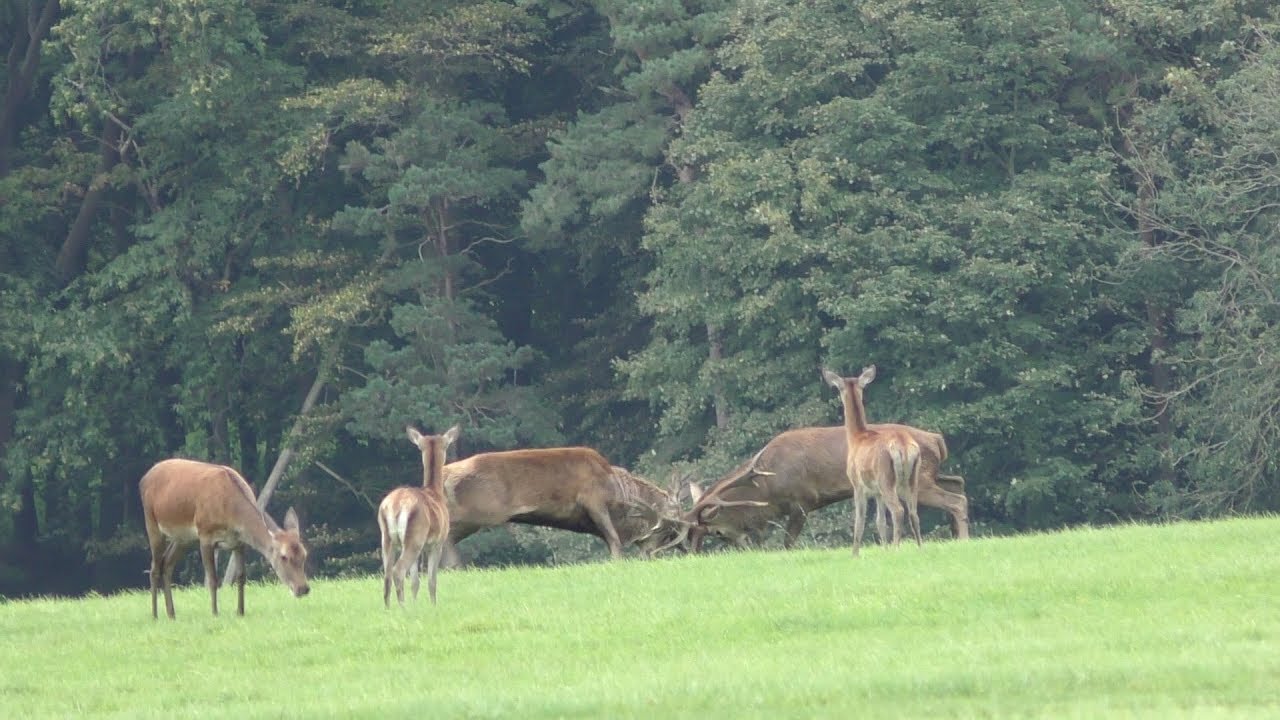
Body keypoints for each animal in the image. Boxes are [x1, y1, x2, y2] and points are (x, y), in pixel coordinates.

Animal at [139, 458, 310, 619]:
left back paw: (171, 614)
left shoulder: (239, 543)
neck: (231, 514)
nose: (303, 589)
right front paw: (215, 613)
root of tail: (143, 479)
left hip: (184, 538)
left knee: (167, 563)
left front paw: (240, 612)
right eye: (284, 557)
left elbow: (241, 576)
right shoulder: (205, 535)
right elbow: (213, 579)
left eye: (304, 555)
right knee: (154, 568)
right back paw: (155, 616)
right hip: (151, 521)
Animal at [379, 425, 460, 607]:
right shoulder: (437, 543)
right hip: (414, 538)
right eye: (447, 444)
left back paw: (388, 609)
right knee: (398, 571)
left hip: (387, 538)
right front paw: (433, 606)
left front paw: (416, 605)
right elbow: (431, 581)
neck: (435, 493)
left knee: (387, 576)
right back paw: (403, 608)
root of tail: (394, 505)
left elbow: (415, 582)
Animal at [683, 425, 968, 552]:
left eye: (716, 531)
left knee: (957, 500)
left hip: (914, 480)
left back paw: (963, 539)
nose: (691, 551)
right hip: (932, 474)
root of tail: (937, 440)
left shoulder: (802, 500)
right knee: (959, 482)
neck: (766, 487)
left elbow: (788, 541)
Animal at [823, 366, 922, 556]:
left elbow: (859, 519)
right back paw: (920, 547)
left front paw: (855, 554)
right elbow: (880, 521)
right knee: (913, 512)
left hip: (885, 477)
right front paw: (883, 549)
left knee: (898, 510)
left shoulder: (857, 485)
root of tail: (903, 445)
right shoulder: (877, 492)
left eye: (839, 388)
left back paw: (896, 548)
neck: (856, 438)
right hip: (912, 478)